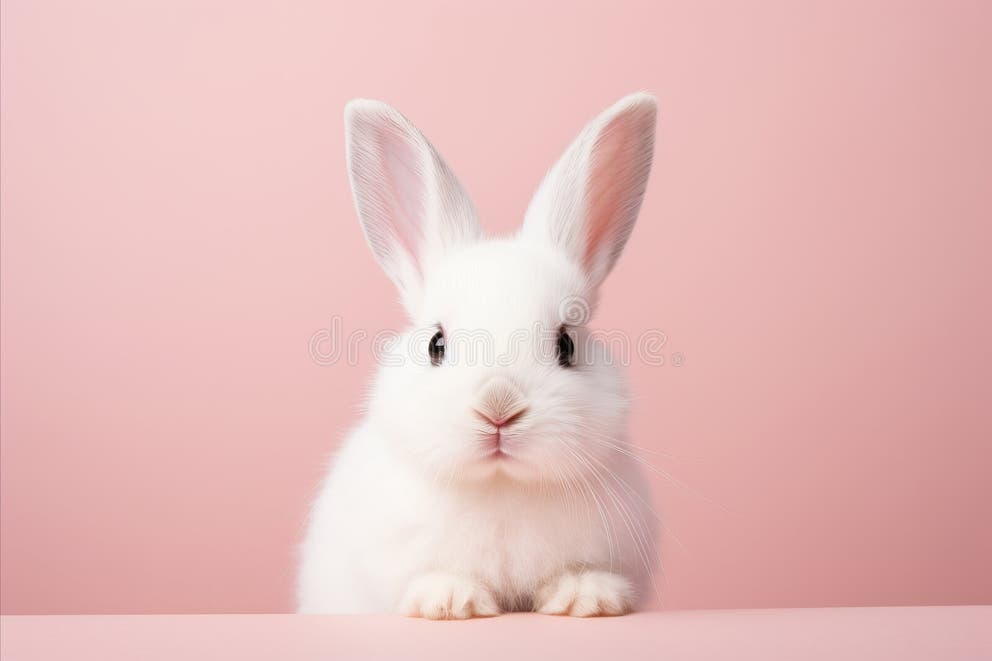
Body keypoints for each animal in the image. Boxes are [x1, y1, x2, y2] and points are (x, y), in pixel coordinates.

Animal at [298, 93, 659, 618]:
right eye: (436, 344)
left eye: (566, 344)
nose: (498, 407)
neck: (500, 485)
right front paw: (451, 601)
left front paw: (586, 598)